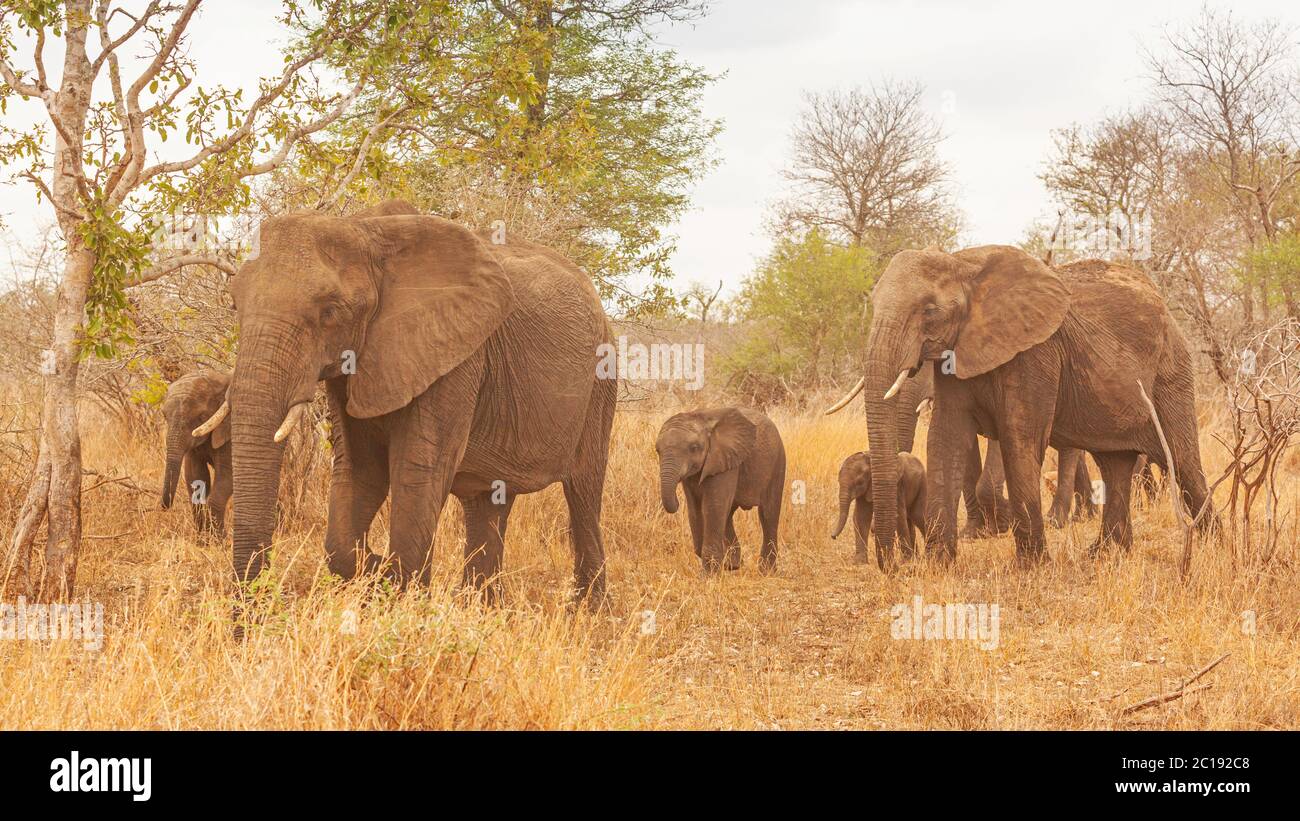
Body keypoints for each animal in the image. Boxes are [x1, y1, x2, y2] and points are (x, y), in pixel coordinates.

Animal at [160, 369, 233, 537]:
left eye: (202, 417)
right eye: (165, 416)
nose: (165, 507)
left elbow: (227, 475)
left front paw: (220, 540)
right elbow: (195, 477)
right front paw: (202, 540)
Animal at [197, 199, 617, 602]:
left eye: (330, 311)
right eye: (235, 304)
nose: (248, 615)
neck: (366, 231)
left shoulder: (455, 354)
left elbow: (419, 467)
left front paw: (392, 583)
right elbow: (359, 470)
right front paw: (374, 568)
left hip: (601, 380)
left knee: (583, 493)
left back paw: (588, 612)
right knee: (488, 500)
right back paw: (482, 609)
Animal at [656, 407, 785, 574]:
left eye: (694, 448)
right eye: (657, 451)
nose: (676, 503)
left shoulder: (724, 461)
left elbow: (713, 507)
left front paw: (708, 575)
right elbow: (695, 509)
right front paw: (717, 564)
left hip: (778, 462)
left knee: (768, 514)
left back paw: (766, 572)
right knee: (728, 514)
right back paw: (732, 566)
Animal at [827, 246, 1213, 567]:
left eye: (930, 310)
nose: (892, 564)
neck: (964, 263)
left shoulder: (1035, 354)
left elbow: (1018, 437)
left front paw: (1031, 566)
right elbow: (945, 438)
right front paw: (938, 565)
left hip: (1171, 371)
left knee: (1183, 463)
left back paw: (1217, 549)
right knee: (1115, 465)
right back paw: (1104, 555)